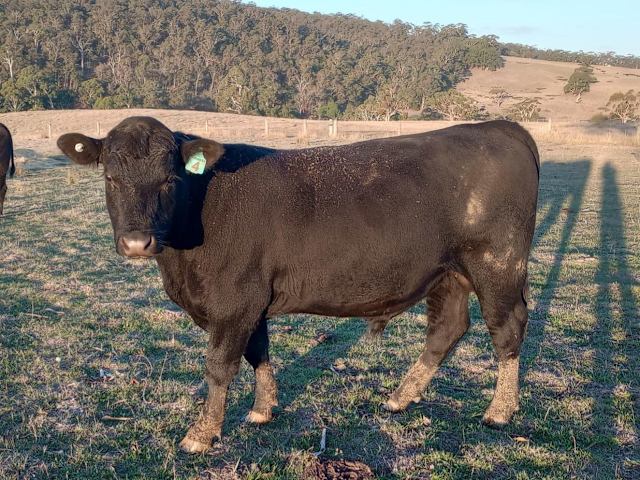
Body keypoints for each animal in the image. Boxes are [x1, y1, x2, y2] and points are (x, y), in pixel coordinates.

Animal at [57, 117, 539, 454]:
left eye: (169, 179)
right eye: (110, 178)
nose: (137, 242)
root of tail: (500, 126)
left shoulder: (235, 300)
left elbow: (219, 366)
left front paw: (202, 433)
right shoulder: (252, 301)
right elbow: (258, 353)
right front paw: (262, 409)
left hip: (497, 264)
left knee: (506, 329)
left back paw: (499, 411)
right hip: (447, 272)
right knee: (447, 329)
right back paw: (401, 397)